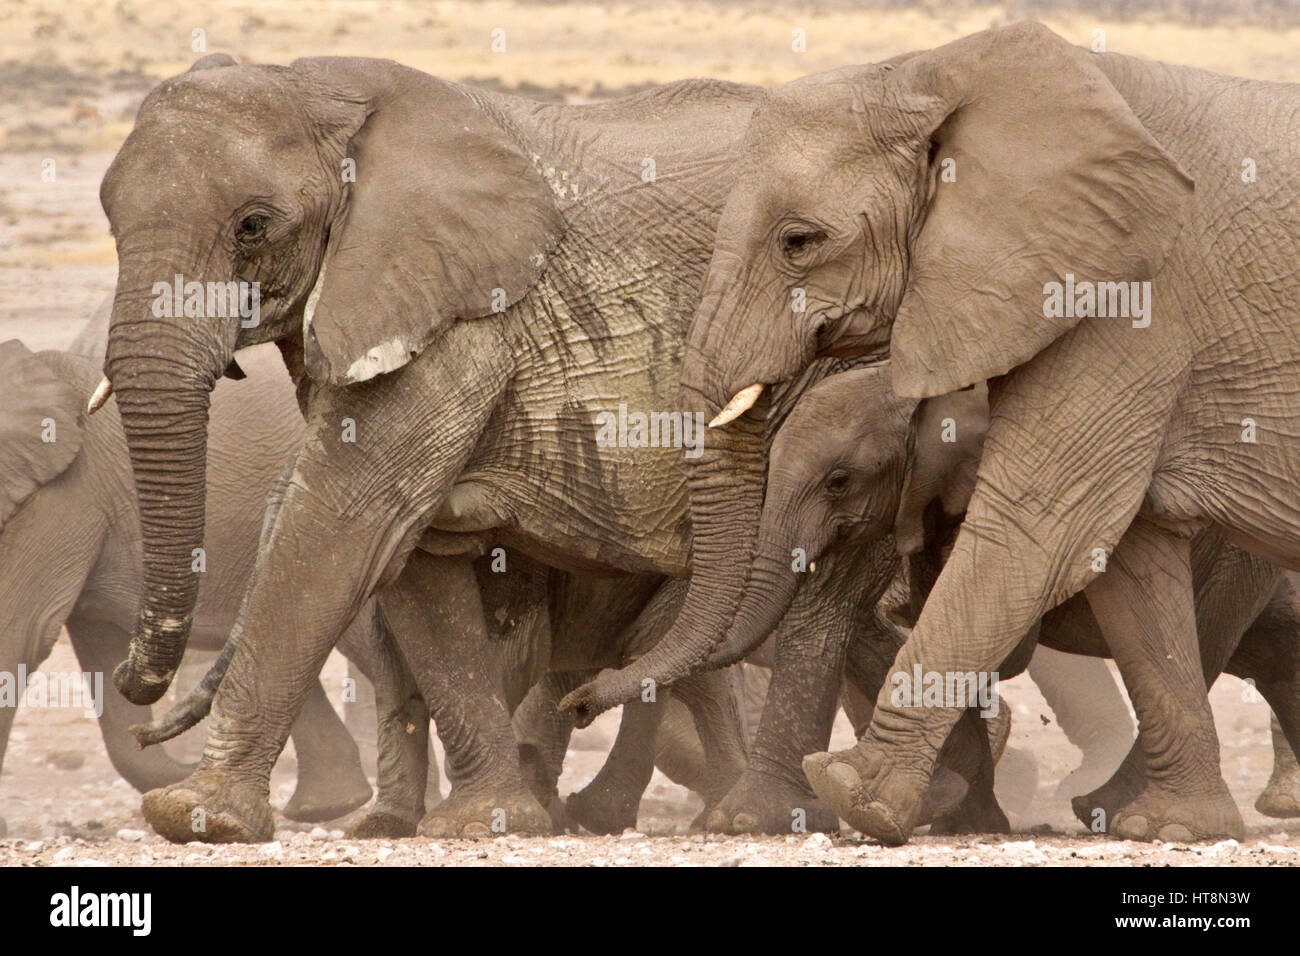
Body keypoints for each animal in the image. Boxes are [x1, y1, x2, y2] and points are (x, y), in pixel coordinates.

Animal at [565, 20, 1300, 844]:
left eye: (798, 241)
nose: (579, 699)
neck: (940, 73)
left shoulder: (1134, 302)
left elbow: (1040, 531)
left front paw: (858, 795)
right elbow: (1128, 558)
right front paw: (1167, 829)